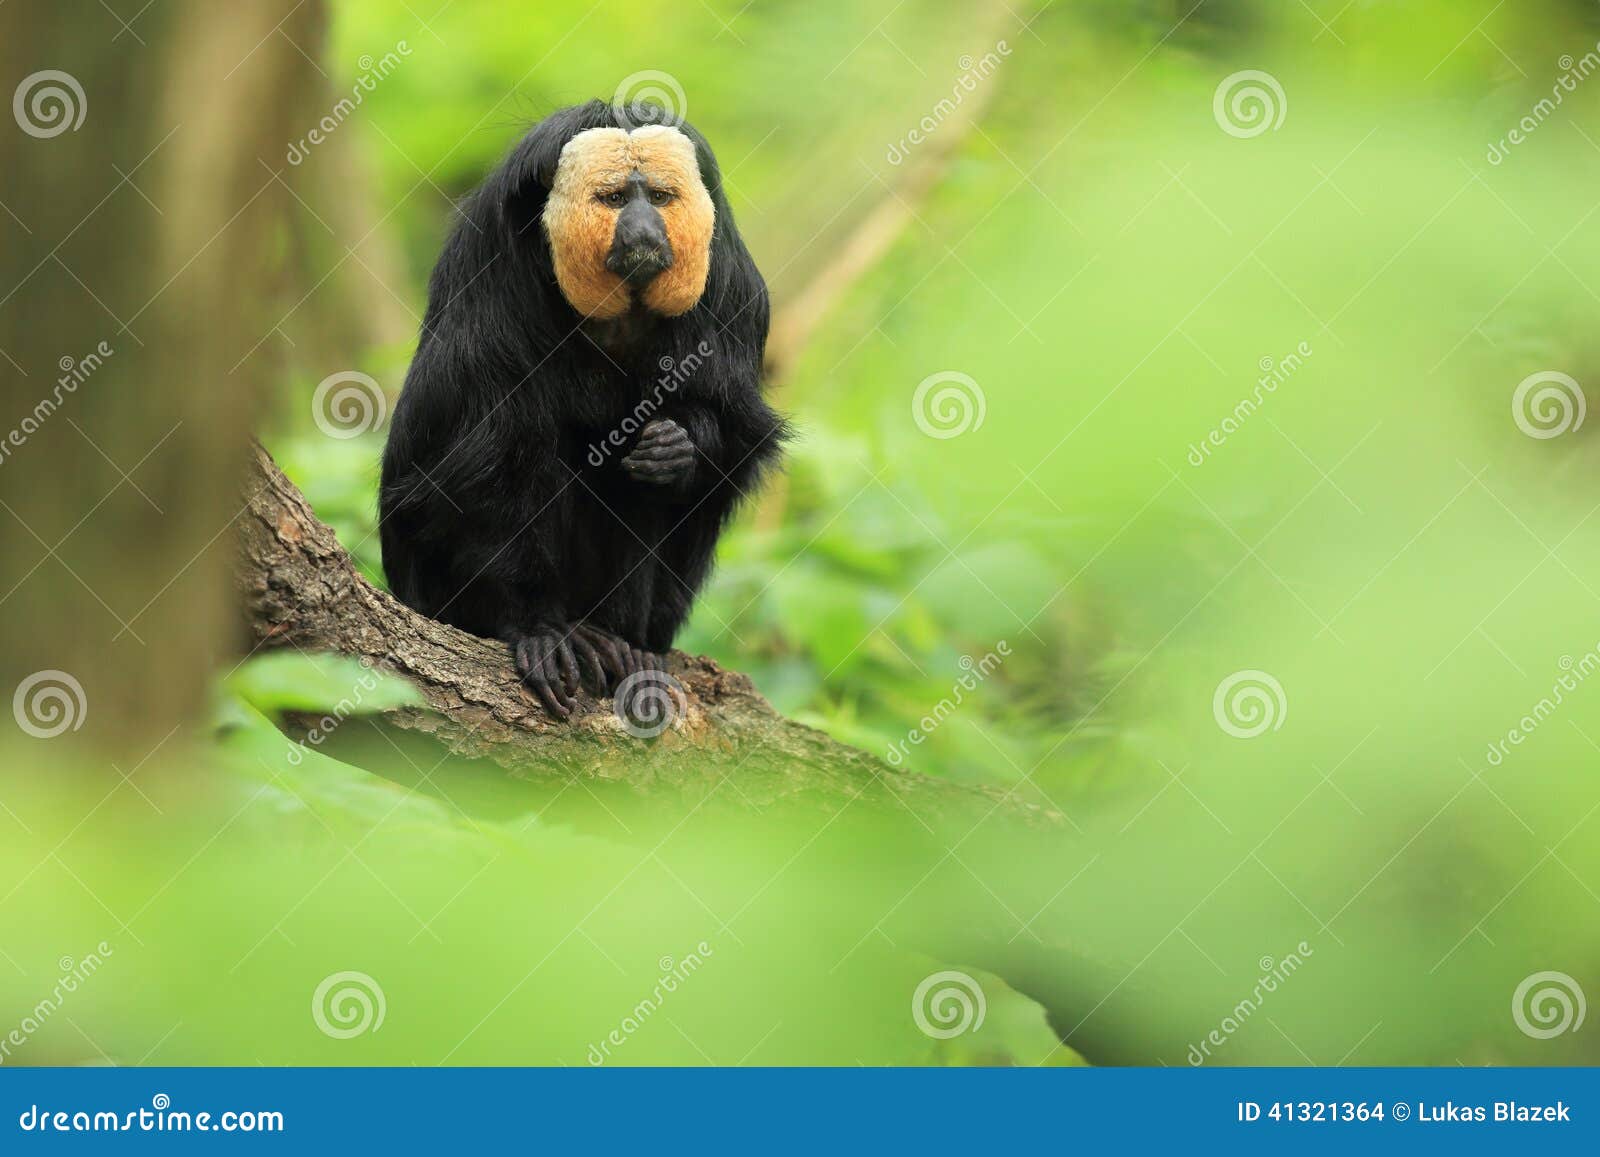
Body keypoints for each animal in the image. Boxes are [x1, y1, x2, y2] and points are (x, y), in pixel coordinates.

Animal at [378, 101, 786, 719]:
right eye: (615, 199)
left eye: (659, 197)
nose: (644, 229)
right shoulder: (495, 287)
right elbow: (482, 470)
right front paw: (534, 628)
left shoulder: (731, 291)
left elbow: (730, 436)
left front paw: (677, 447)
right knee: (540, 451)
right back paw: (571, 631)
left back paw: (625, 642)